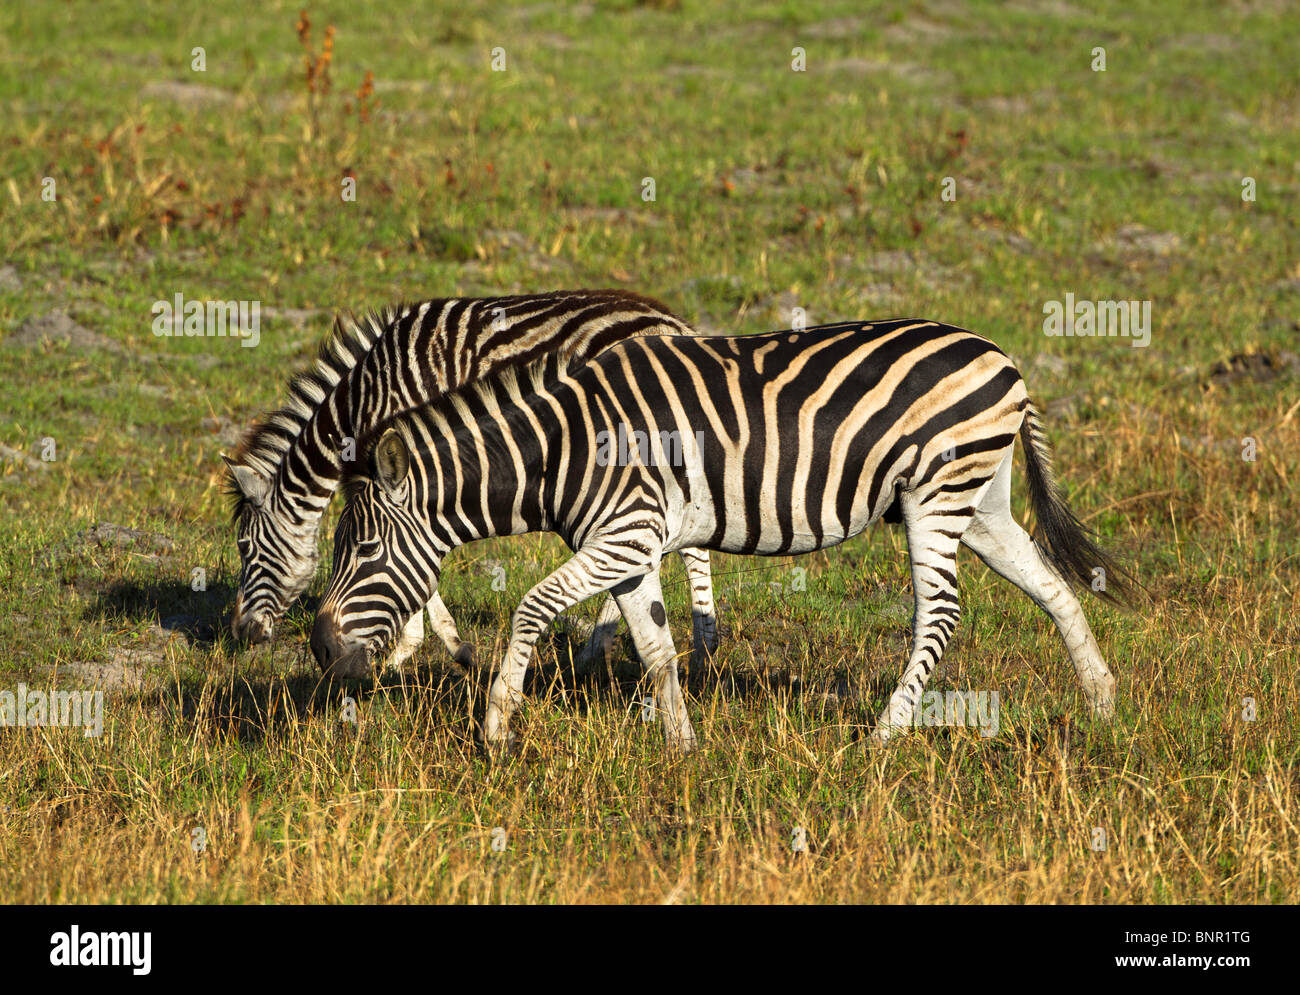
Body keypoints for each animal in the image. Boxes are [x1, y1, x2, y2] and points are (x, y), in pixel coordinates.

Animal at [224, 290, 720, 671]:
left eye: (245, 548)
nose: (241, 635)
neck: (365, 397)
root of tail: (679, 325)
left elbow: (412, 562)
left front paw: (420, 649)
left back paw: (648, 649)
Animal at [311, 317, 1129, 751]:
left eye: (365, 552)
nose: (318, 648)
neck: (563, 446)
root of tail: (1004, 357)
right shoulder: (631, 547)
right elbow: (657, 649)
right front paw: (682, 747)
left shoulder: (622, 534)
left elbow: (530, 608)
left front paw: (496, 725)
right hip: (981, 502)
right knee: (1053, 587)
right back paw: (1100, 702)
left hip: (937, 493)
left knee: (941, 613)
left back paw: (884, 735)